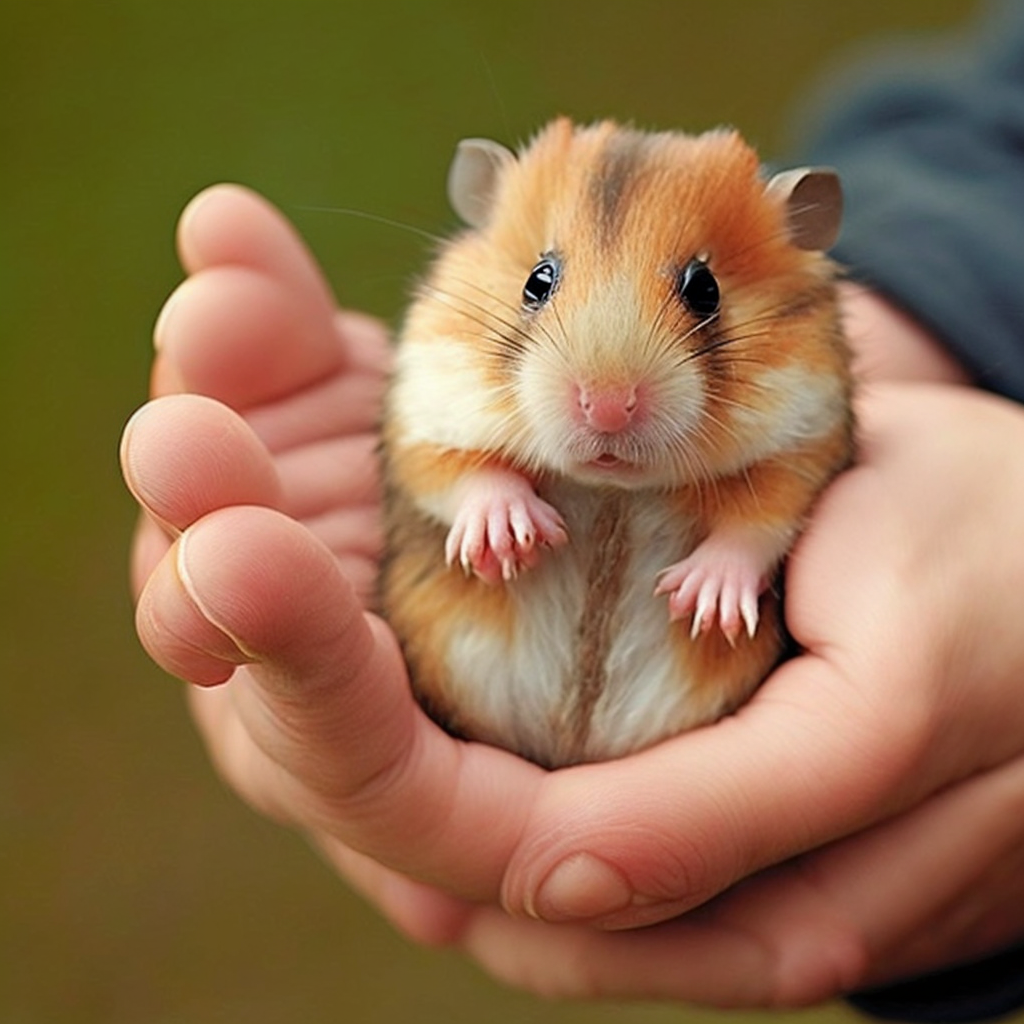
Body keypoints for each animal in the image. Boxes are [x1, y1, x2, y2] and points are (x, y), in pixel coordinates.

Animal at [380, 118, 852, 769]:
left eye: (705, 289)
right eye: (537, 280)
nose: (606, 407)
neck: (612, 490)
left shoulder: (807, 441)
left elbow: (759, 526)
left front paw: (699, 604)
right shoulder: (423, 409)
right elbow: (461, 475)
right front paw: (517, 539)